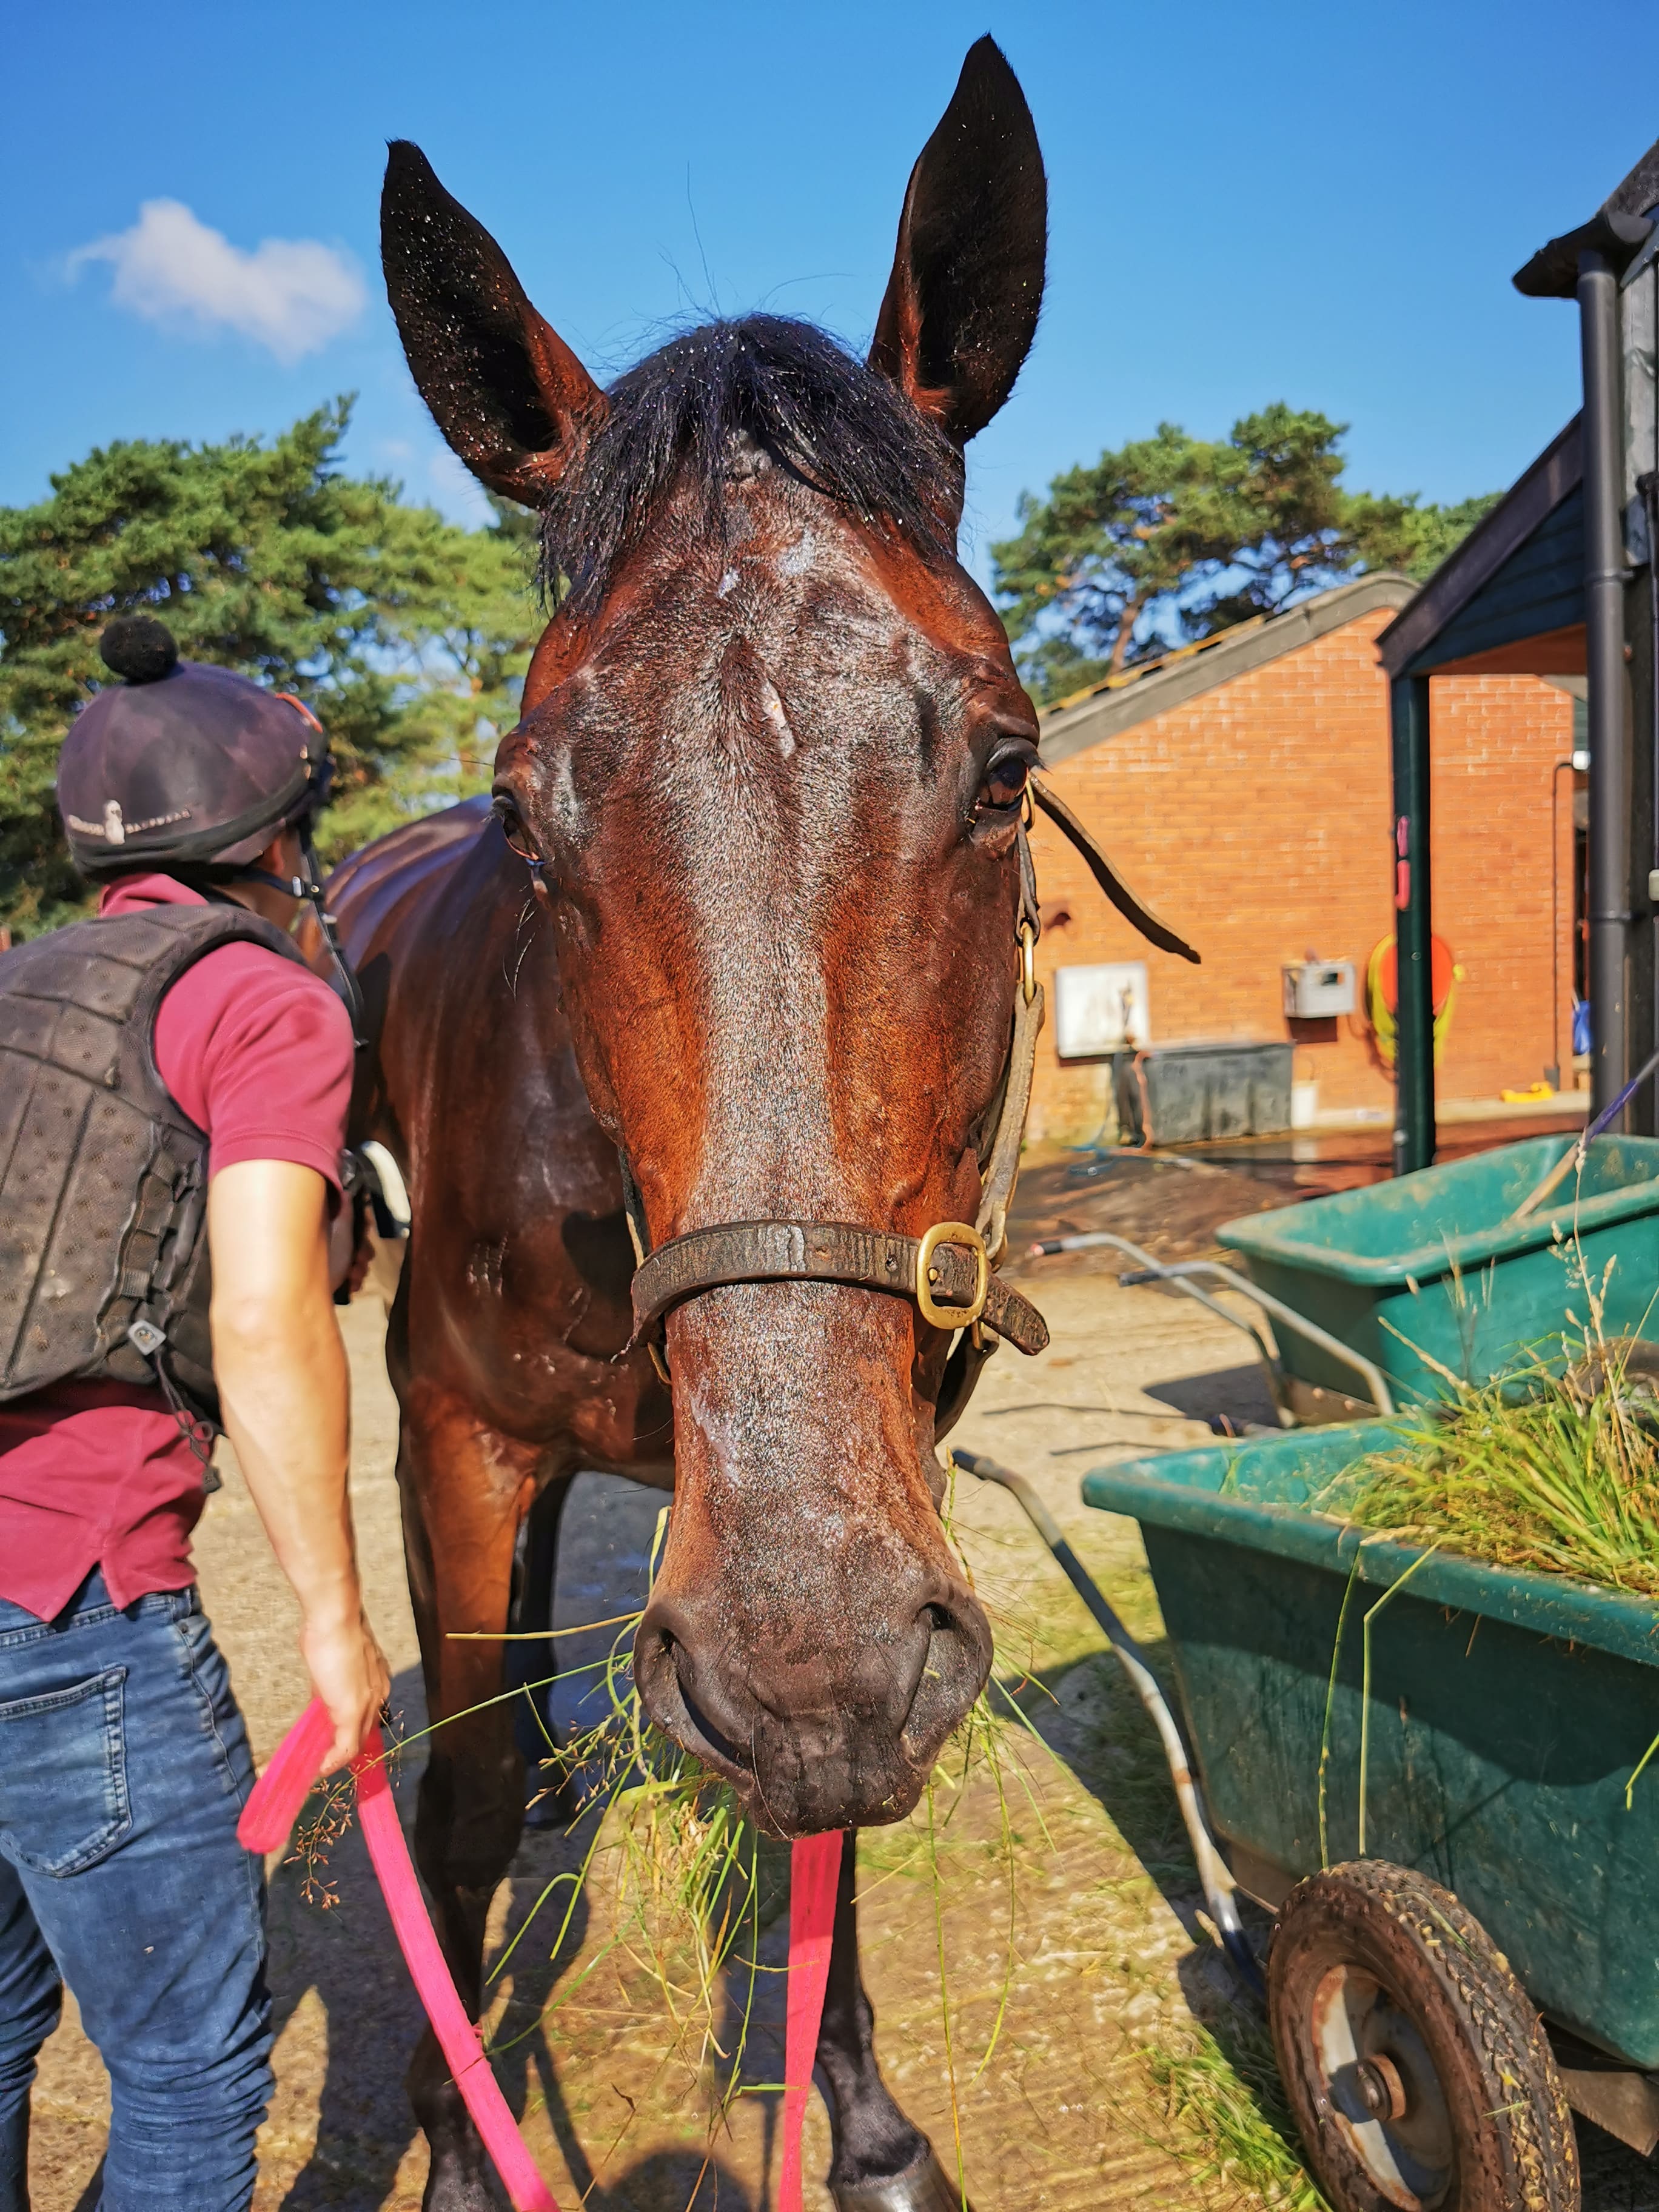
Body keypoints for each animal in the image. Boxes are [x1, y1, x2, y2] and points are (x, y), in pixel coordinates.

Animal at [334, 39, 1051, 2210]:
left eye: (1007, 765)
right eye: (526, 811)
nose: (806, 1656)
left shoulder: (888, 1489)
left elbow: (822, 1823)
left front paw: (867, 2115)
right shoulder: (455, 1427)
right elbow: (471, 1777)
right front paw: (457, 2129)